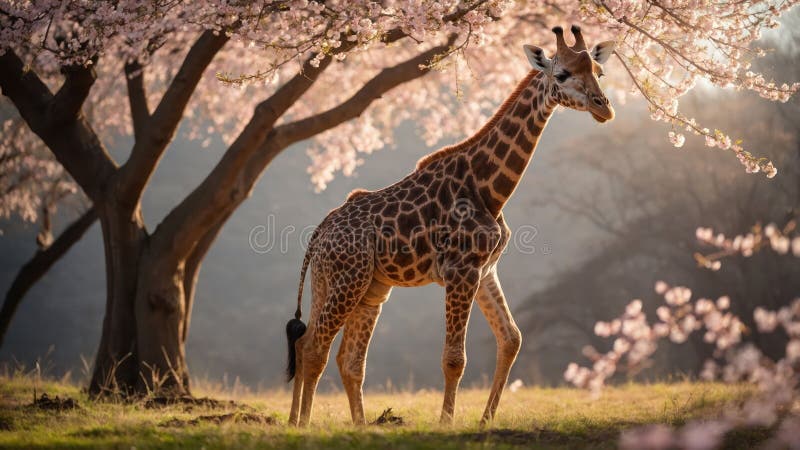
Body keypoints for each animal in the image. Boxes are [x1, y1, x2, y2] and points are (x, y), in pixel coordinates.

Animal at [284, 25, 616, 427]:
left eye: (599, 72)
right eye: (562, 75)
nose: (604, 107)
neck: (489, 189)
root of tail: (318, 234)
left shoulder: (485, 270)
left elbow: (511, 339)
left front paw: (486, 420)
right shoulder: (461, 270)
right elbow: (455, 358)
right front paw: (447, 423)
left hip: (359, 286)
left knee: (337, 356)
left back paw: (340, 425)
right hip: (349, 279)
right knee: (316, 345)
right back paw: (303, 425)